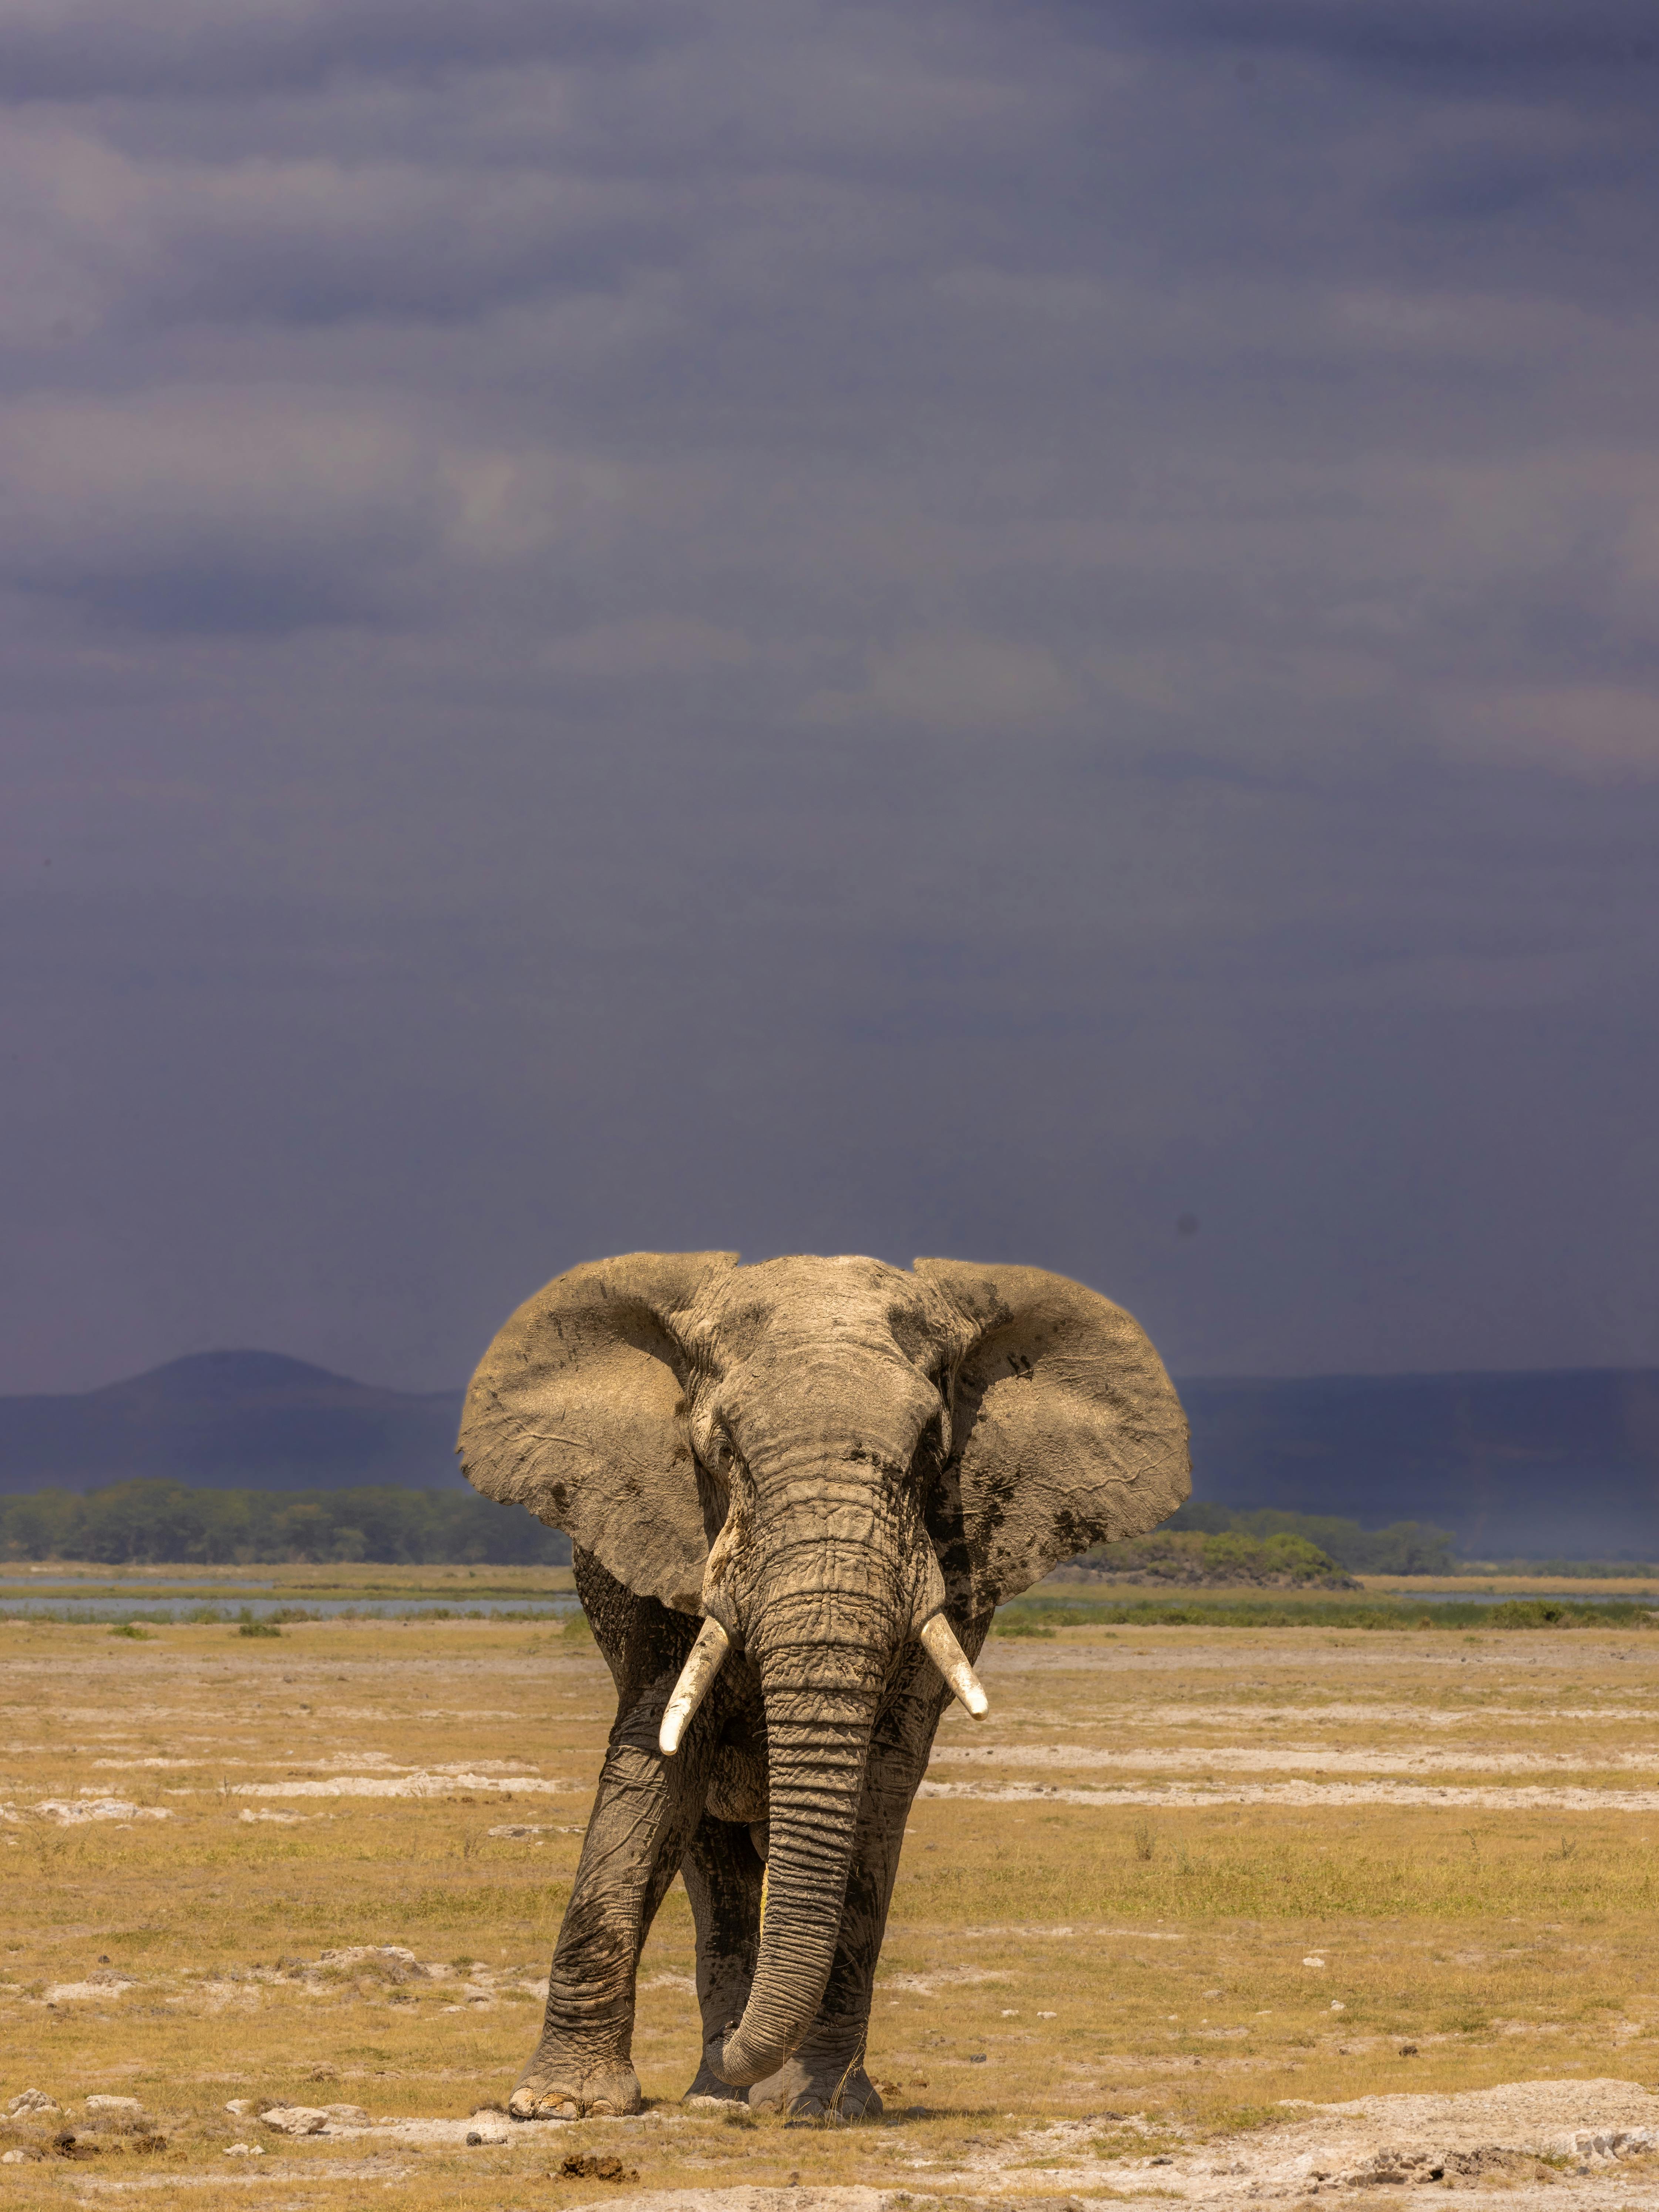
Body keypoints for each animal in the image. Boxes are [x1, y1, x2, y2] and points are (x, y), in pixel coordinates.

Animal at [458, 1251, 1188, 2121]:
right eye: (722, 1448)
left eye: (929, 1448)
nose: (748, 2067)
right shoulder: (666, 1555)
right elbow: (658, 1767)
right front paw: (557, 2104)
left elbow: (878, 1786)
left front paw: (821, 2105)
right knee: (716, 1861)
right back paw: (717, 2088)